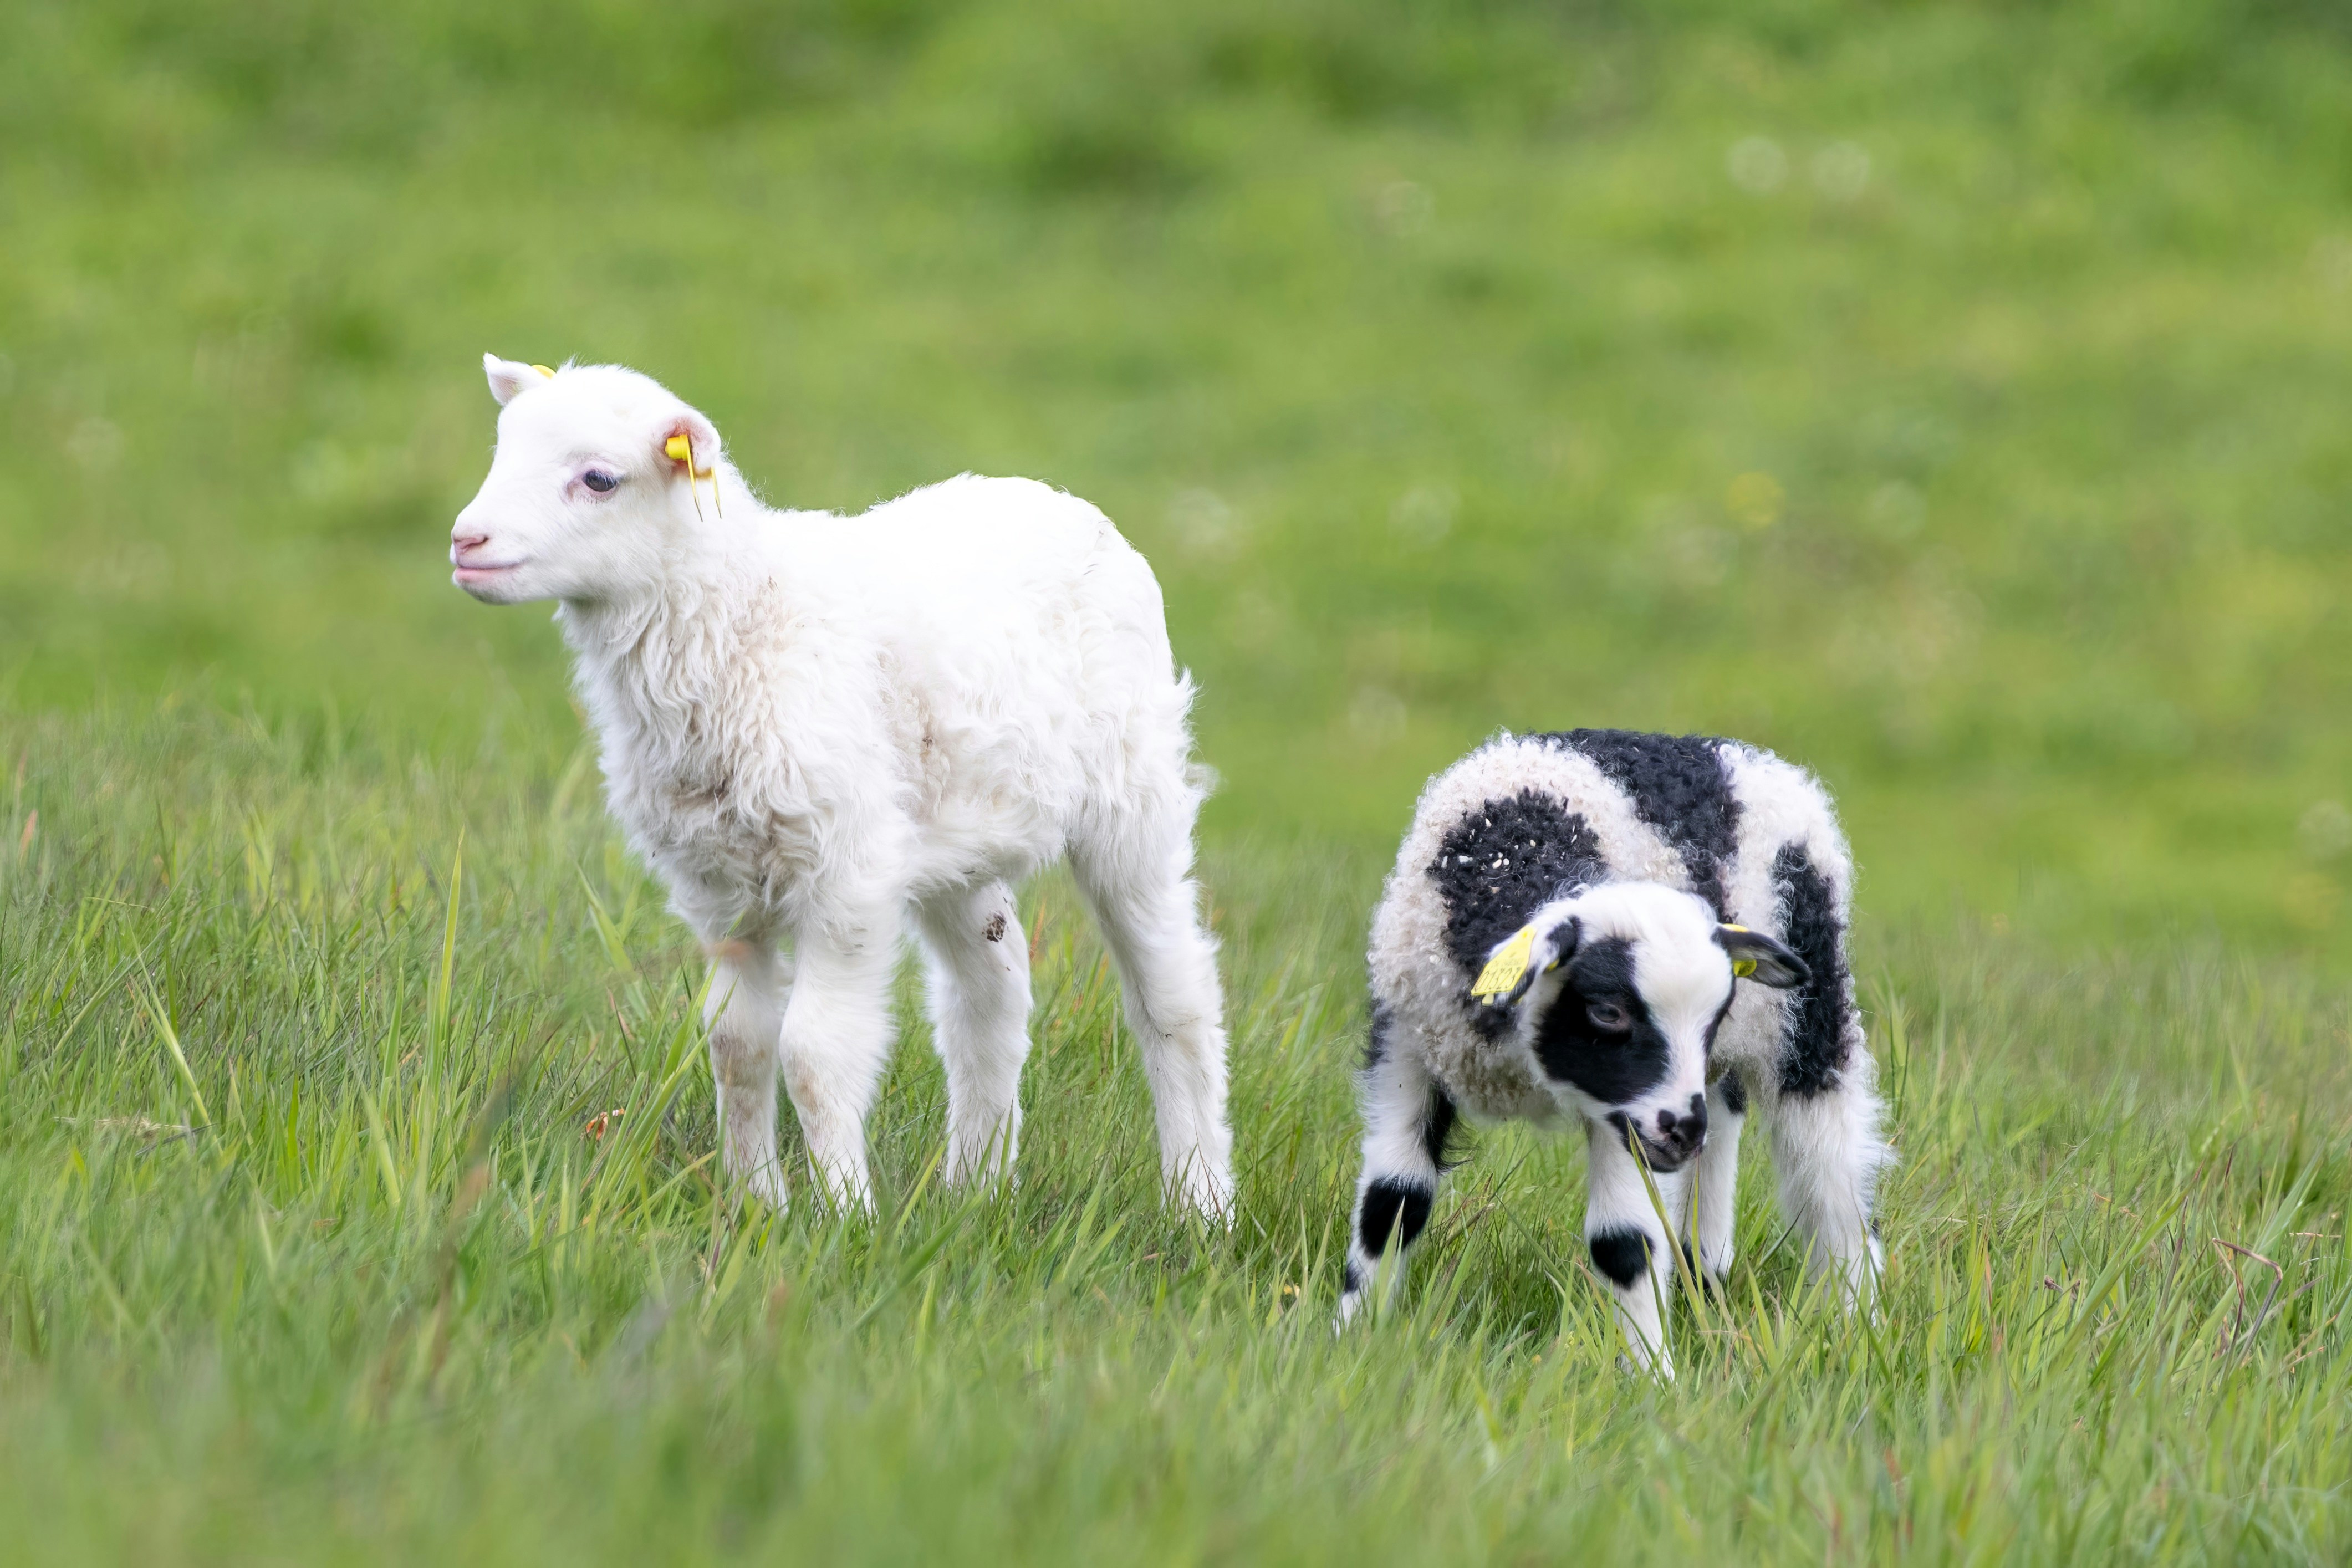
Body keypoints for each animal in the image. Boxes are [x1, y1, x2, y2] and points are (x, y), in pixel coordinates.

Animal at [449, 355, 1234, 1218]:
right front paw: (756, 1207)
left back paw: (1200, 1203)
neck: (748, 624)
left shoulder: (846, 872)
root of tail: (1069, 504)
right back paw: (974, 1189)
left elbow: (814, 1054)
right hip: (949, 832)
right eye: (500, 450)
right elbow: (737, 1045)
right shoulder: (714, 884)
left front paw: (846, 1216)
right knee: (990, 997)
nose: (465, 541)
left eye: (598, 479)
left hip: (1133, 796)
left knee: (1175, 997)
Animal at [1339, 729, 1889, 1376]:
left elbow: (1623, 1241)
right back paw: (1706, 1277)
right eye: (1608, 1012)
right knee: (1725, 1125)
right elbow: (1391, 1203)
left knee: (1833, 1174)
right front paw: (1351, 1339)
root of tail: (1733, 753)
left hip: (1811, 1015)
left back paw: (1858, 1329)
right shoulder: (1407, 1046)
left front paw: (1652, 1376)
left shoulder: (1625, 1114)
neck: (1511, 854)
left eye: (1717, 1009)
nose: (1680, 1130)